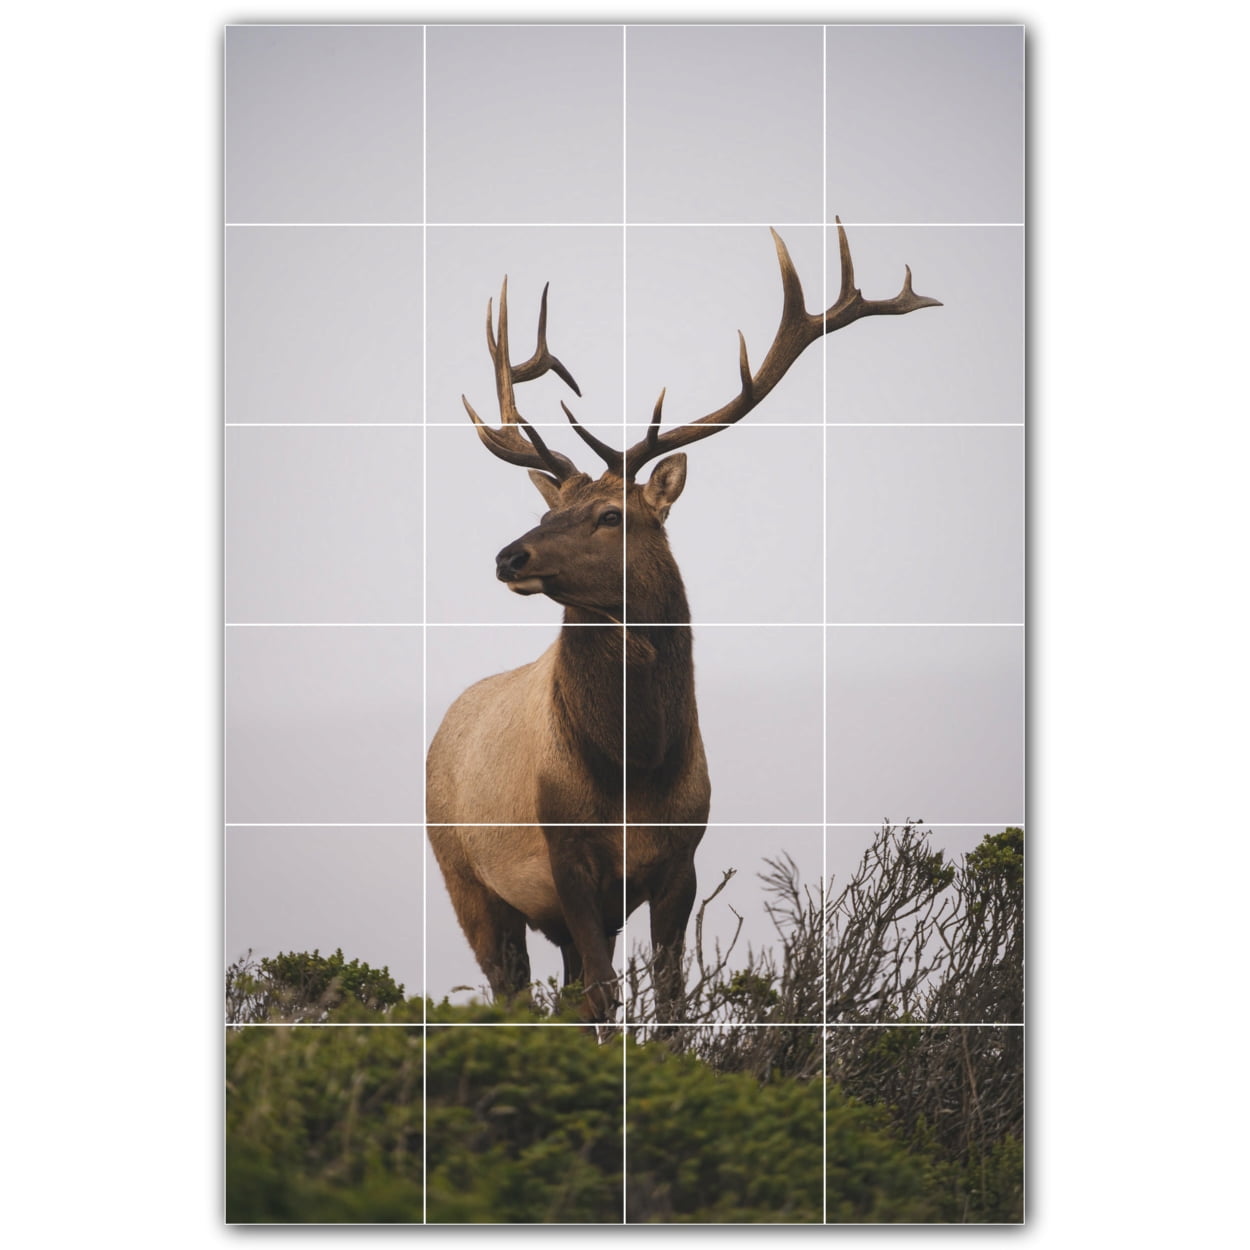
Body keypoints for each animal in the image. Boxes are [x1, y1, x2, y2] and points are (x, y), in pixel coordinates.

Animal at [426, 222, 940, 1022]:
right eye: (550, 508)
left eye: (612, 514)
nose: (510, 556)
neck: (635, 770)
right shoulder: (566, 855)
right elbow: (604, 995)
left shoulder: (682, 859)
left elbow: (669, 995)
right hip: (464, 875)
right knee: (513, 988)